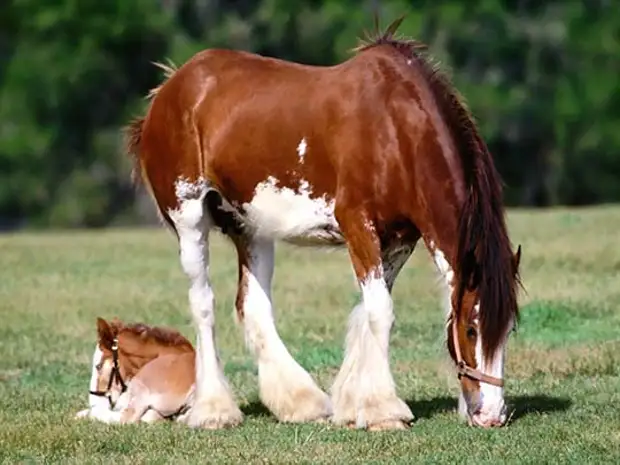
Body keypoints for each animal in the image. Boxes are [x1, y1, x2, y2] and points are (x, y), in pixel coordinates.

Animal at [123, 18, 520, 432]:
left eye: (510, 329)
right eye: (472, 329)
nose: (492, 414)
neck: (395, 129)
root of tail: (169, 88)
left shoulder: (399, 241)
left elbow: (368, 312)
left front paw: (353, 403)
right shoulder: (358, 225)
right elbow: (381, 312)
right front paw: (384, 411)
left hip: (251, 227)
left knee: (253, 306)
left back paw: (301, 402)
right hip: (190, 218)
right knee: (203, 303)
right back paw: (214, 409)